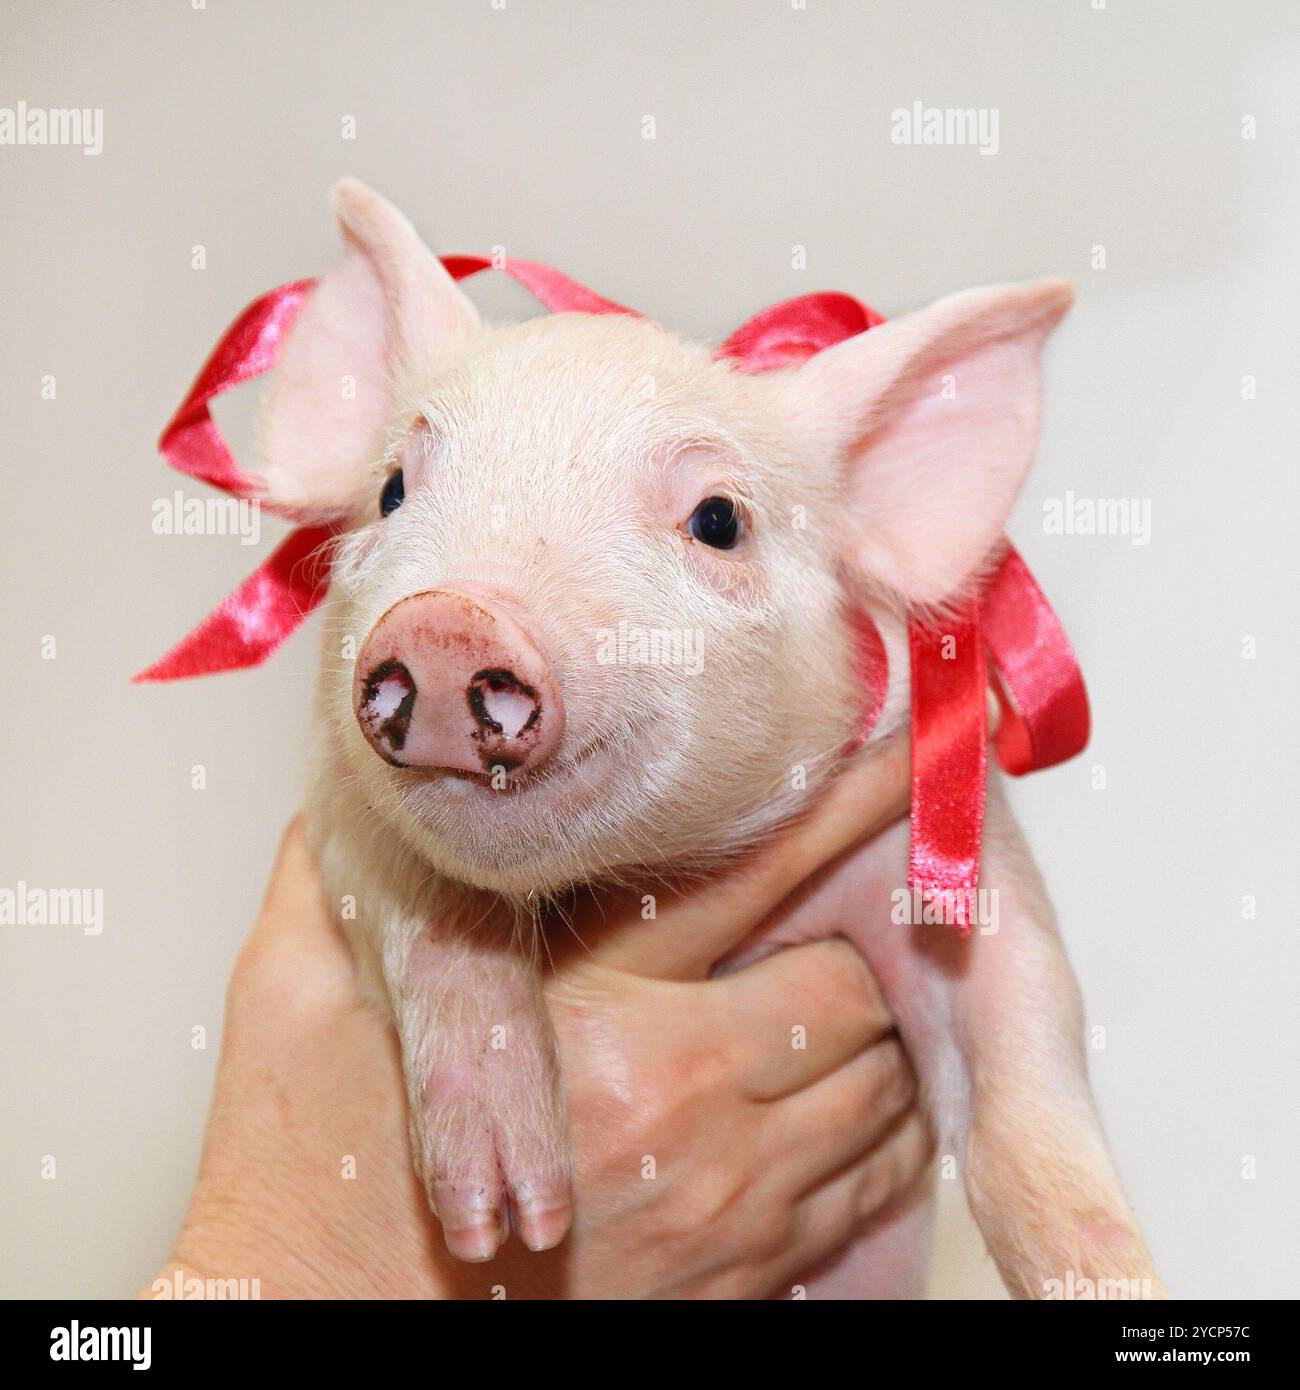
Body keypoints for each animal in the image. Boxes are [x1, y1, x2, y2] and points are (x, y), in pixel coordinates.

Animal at [253, 177, 1160, 1296]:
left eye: (719, 519)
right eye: (391, 488)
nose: (447, 622)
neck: (637, 880)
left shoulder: (925, 833)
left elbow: (1019, 1041)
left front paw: (1122, 1278)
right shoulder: (334, 815)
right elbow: (426, 914)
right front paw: (506, 1226)